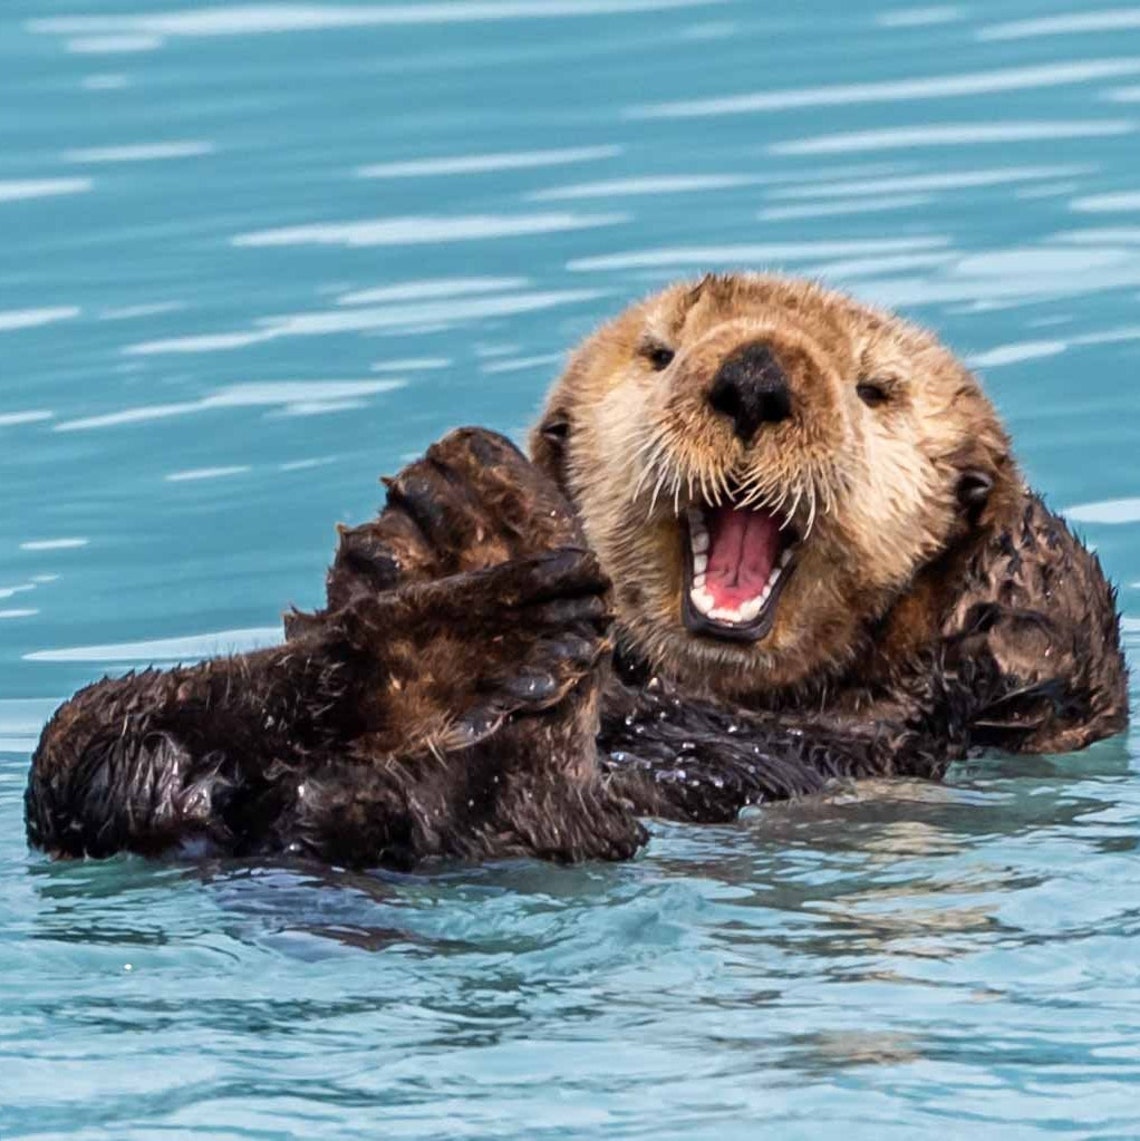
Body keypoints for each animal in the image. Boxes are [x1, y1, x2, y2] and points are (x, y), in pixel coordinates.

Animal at [25, 274, 1128, 866]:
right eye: (661, 352)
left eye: (878, 389)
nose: (755, 376)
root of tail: (311, 825)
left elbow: (1058, 641)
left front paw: (1002, 544)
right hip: (125, 762)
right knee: (91, 745)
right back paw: (444, 553)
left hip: (527, 820)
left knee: (532, 791)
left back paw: (480, 602)